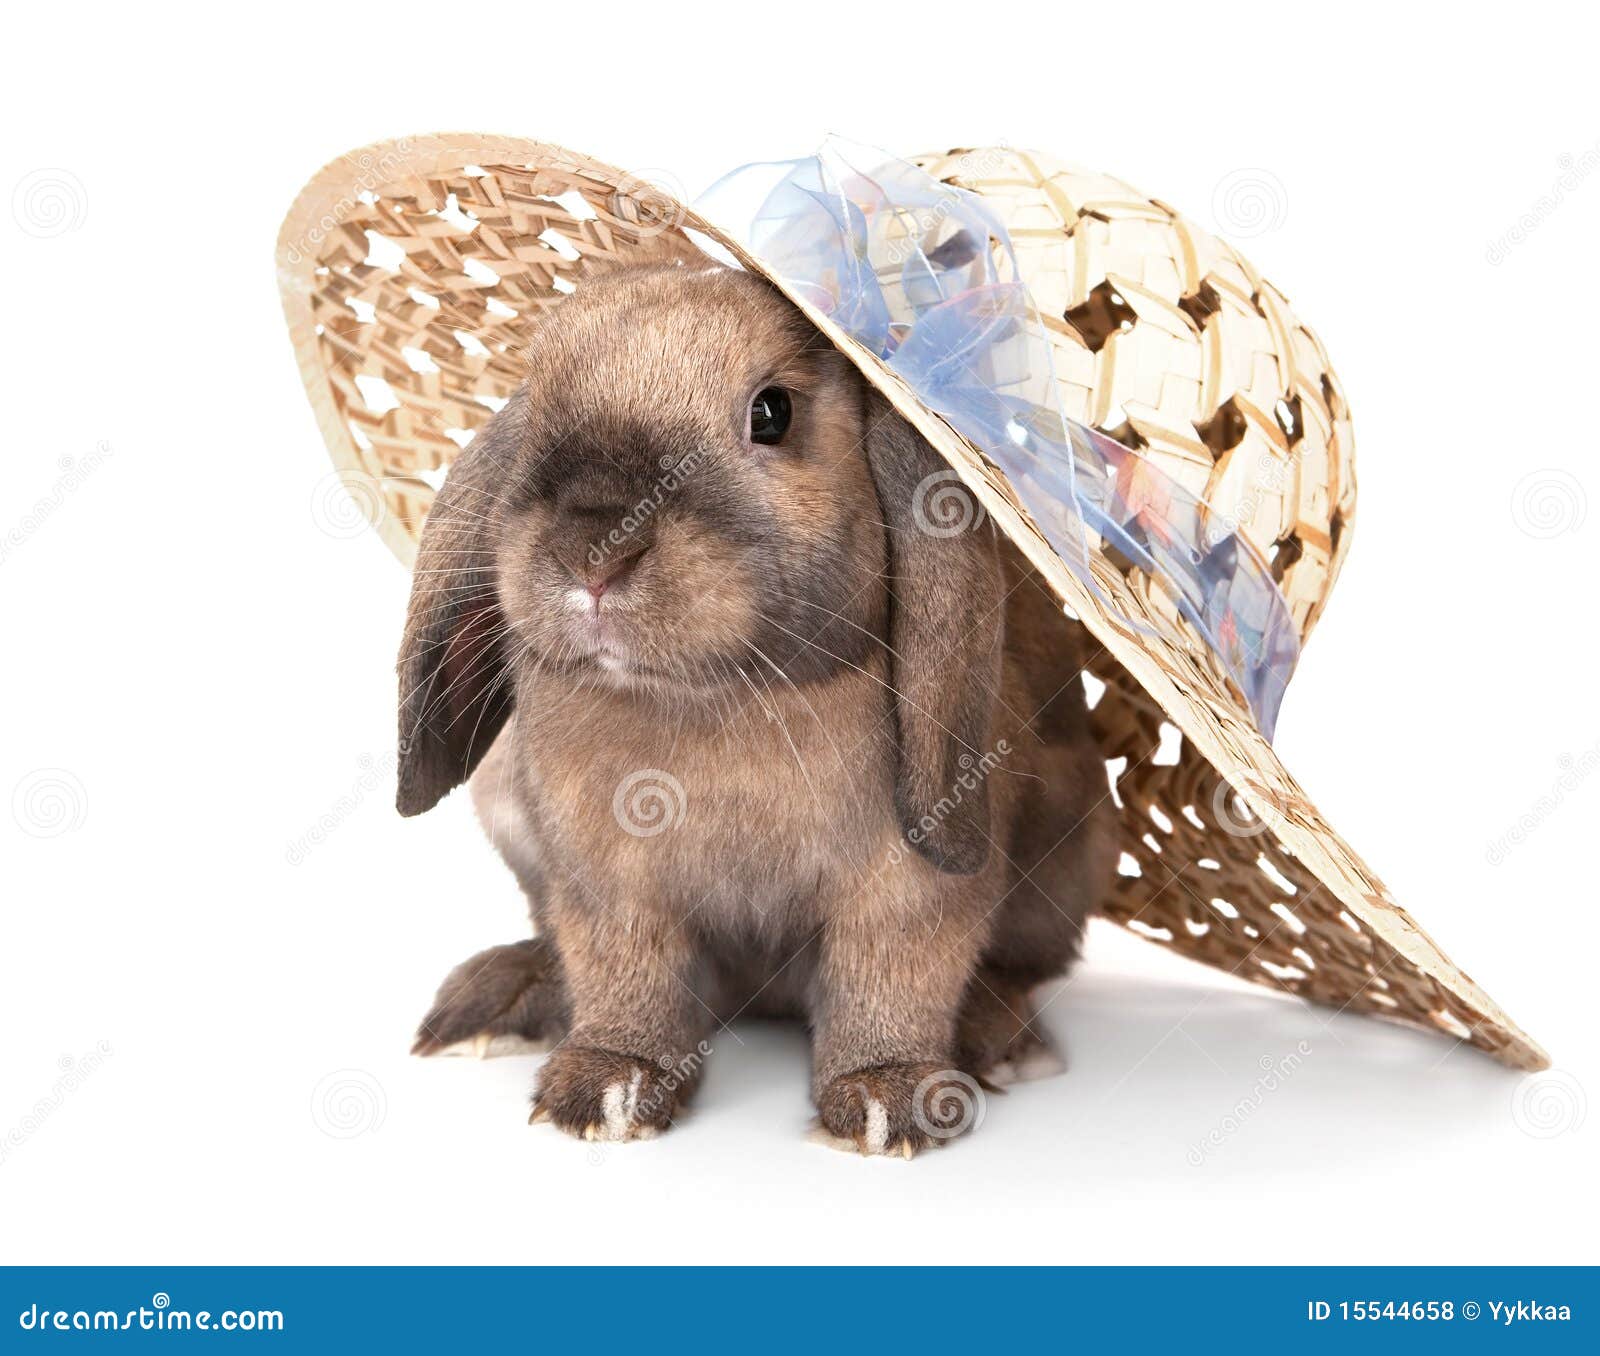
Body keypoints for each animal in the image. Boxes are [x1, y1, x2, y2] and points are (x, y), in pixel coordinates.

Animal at [398, 260, 1116, 1155]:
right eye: (536, 407)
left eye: (771, 413)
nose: (592, 546)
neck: (716, 700)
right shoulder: (606, 881)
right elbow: (624, 973)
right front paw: (603, 1088)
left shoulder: (910, 884)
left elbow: (894, 975)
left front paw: (887, 1102)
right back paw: (500, 1000)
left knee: (1021, 965)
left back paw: (1000, 1039)